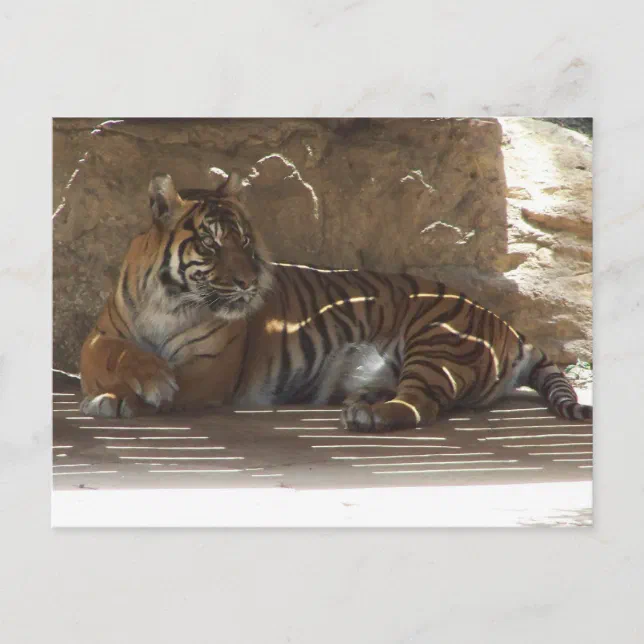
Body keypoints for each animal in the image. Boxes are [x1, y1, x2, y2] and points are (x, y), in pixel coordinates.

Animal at [79, 171, 593, 432]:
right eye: (210, 244)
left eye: (243, 241)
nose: (250, 283)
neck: (167, 301)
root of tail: (506, 324)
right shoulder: (99, 337)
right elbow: (112, 354)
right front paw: (128, 383)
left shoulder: (207, 374)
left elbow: (164, 392)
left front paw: (125, 397)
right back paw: (363, 400)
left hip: (437, 339)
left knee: (421, 405)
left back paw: (369, 415)